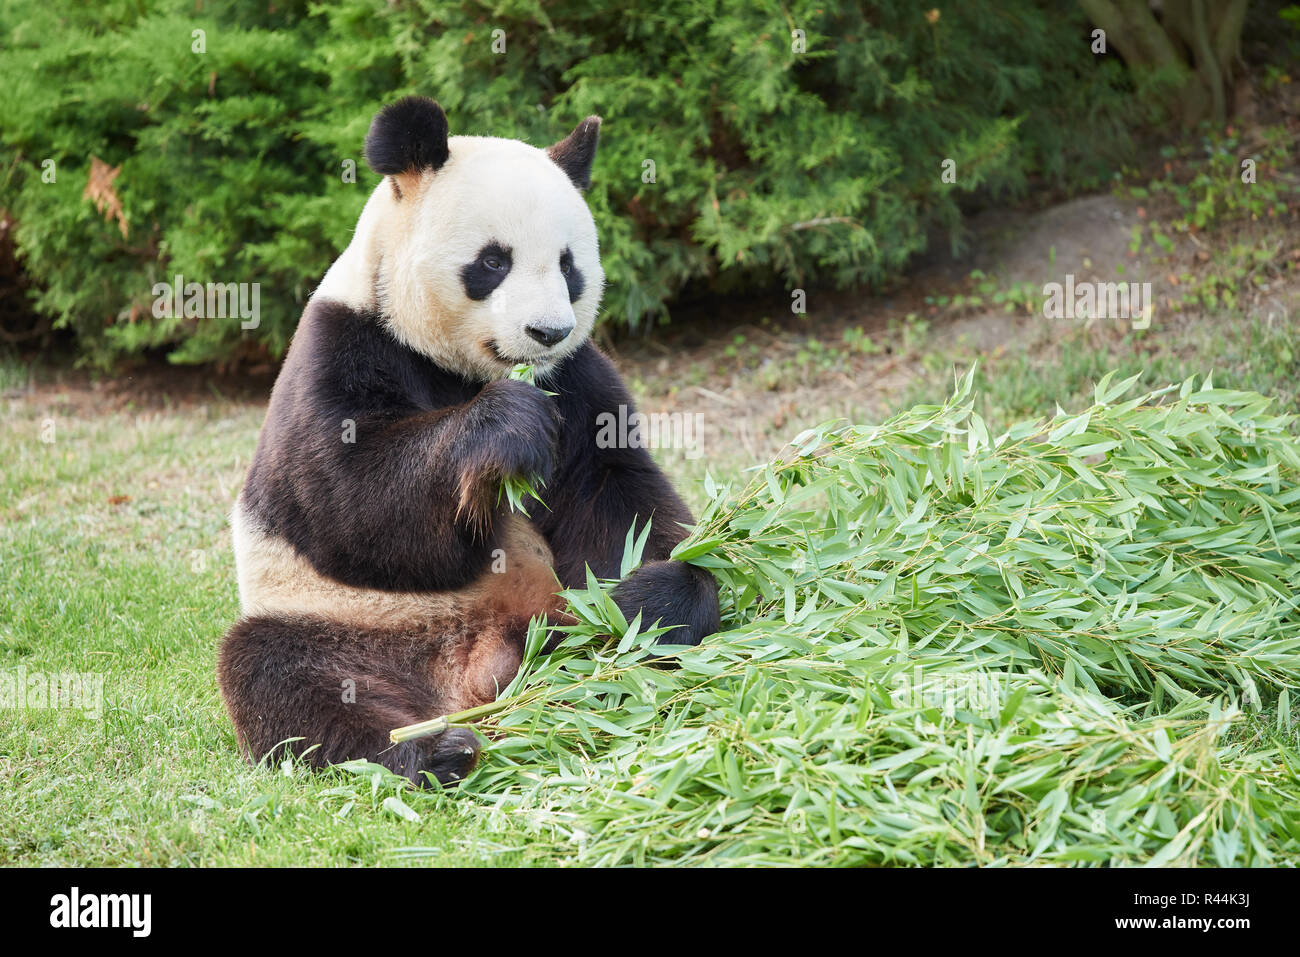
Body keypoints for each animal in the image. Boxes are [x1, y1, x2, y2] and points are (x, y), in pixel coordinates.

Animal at [217, 96, 721, 787]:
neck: (463, 369)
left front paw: (653, 596)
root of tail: (471, 677)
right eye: (492, 261)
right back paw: (429, 751)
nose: (547, 331)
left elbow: (616, 500)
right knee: (285, 675)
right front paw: (507, 427)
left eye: (569, 265)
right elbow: (345, 502)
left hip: (549, 618)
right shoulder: (344, 343)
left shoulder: (577, 379)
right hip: (339, 624)